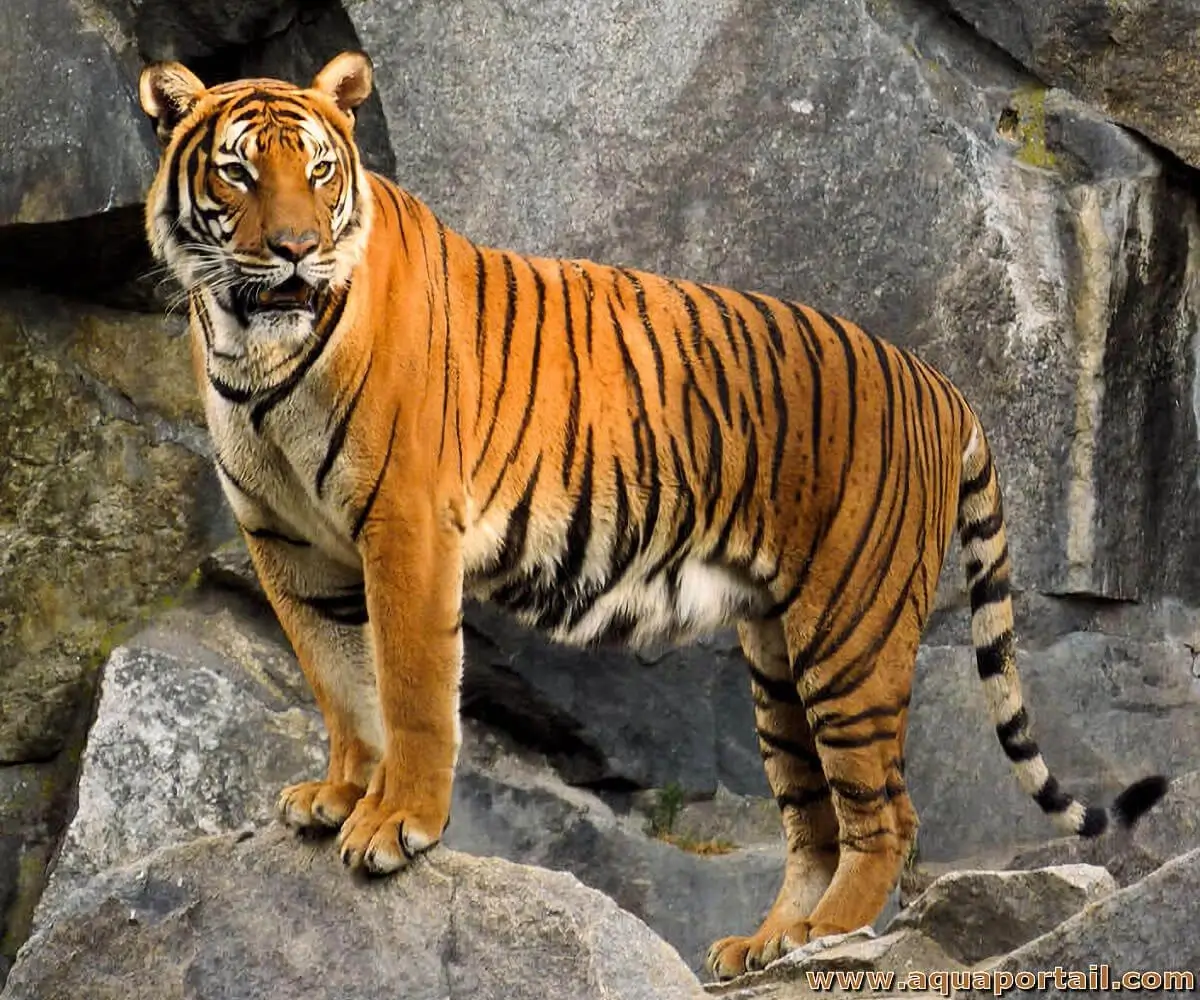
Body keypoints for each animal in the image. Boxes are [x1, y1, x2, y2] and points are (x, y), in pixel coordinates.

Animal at [137, 51, 1168, 980]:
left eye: (318, 171)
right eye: (238, 171)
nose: (296, 248)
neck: (252, 344)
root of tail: (942, 384)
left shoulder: (407, 526)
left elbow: (412, 690)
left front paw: (397, 825)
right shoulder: (289, 543)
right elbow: (341, 683)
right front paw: (341, 794)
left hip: (852, 632)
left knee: (886, 816)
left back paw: (820, 936)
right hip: (778, 657)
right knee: (815, 821)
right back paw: (764, 945)